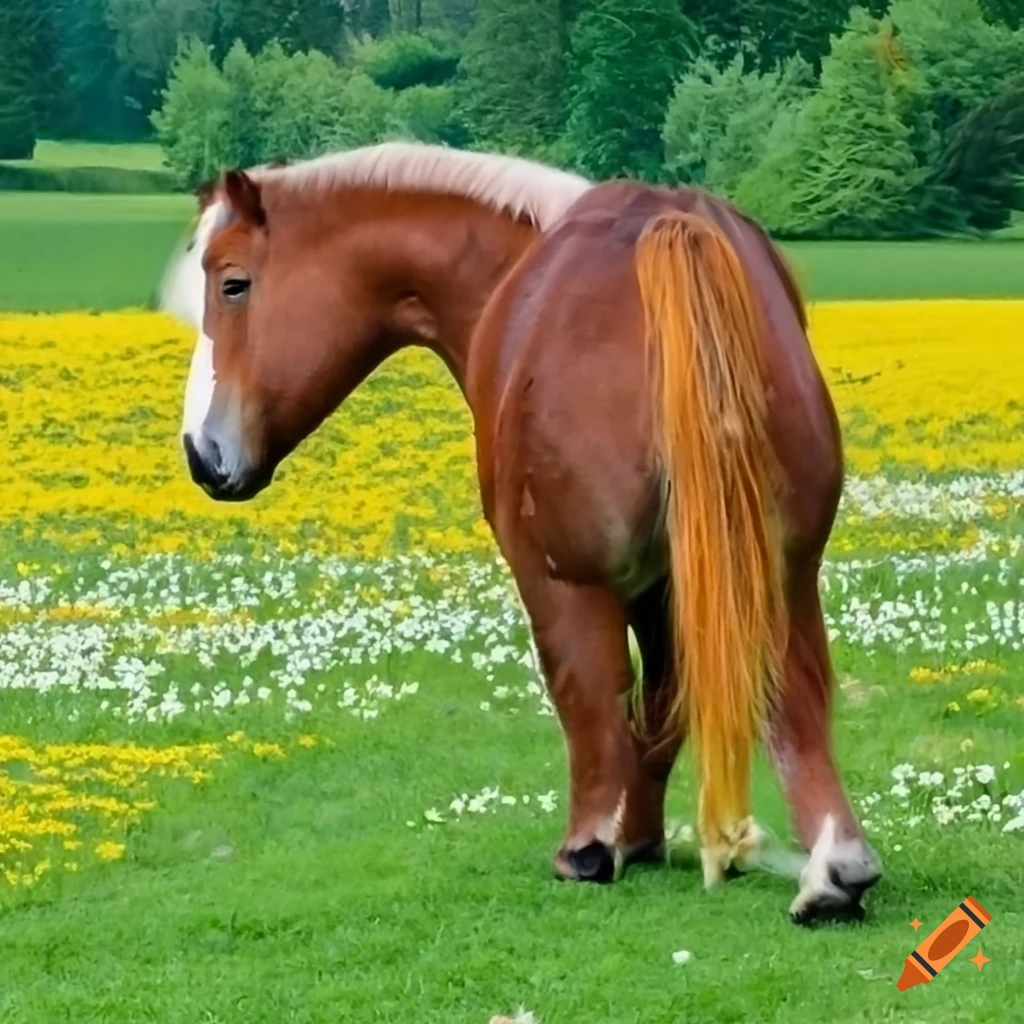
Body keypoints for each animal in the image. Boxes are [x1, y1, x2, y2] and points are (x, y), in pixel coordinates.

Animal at [160, 142, 882, 923]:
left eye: (233, 284)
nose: (202, 454)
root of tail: (673, 235)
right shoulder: (667, 580)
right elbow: (663, 704)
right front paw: (642, 836)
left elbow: (600, 697)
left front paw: (600, 847)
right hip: (782, 566)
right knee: (795, 689)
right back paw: (836, 866)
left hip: (571, 574)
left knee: (592, 691)